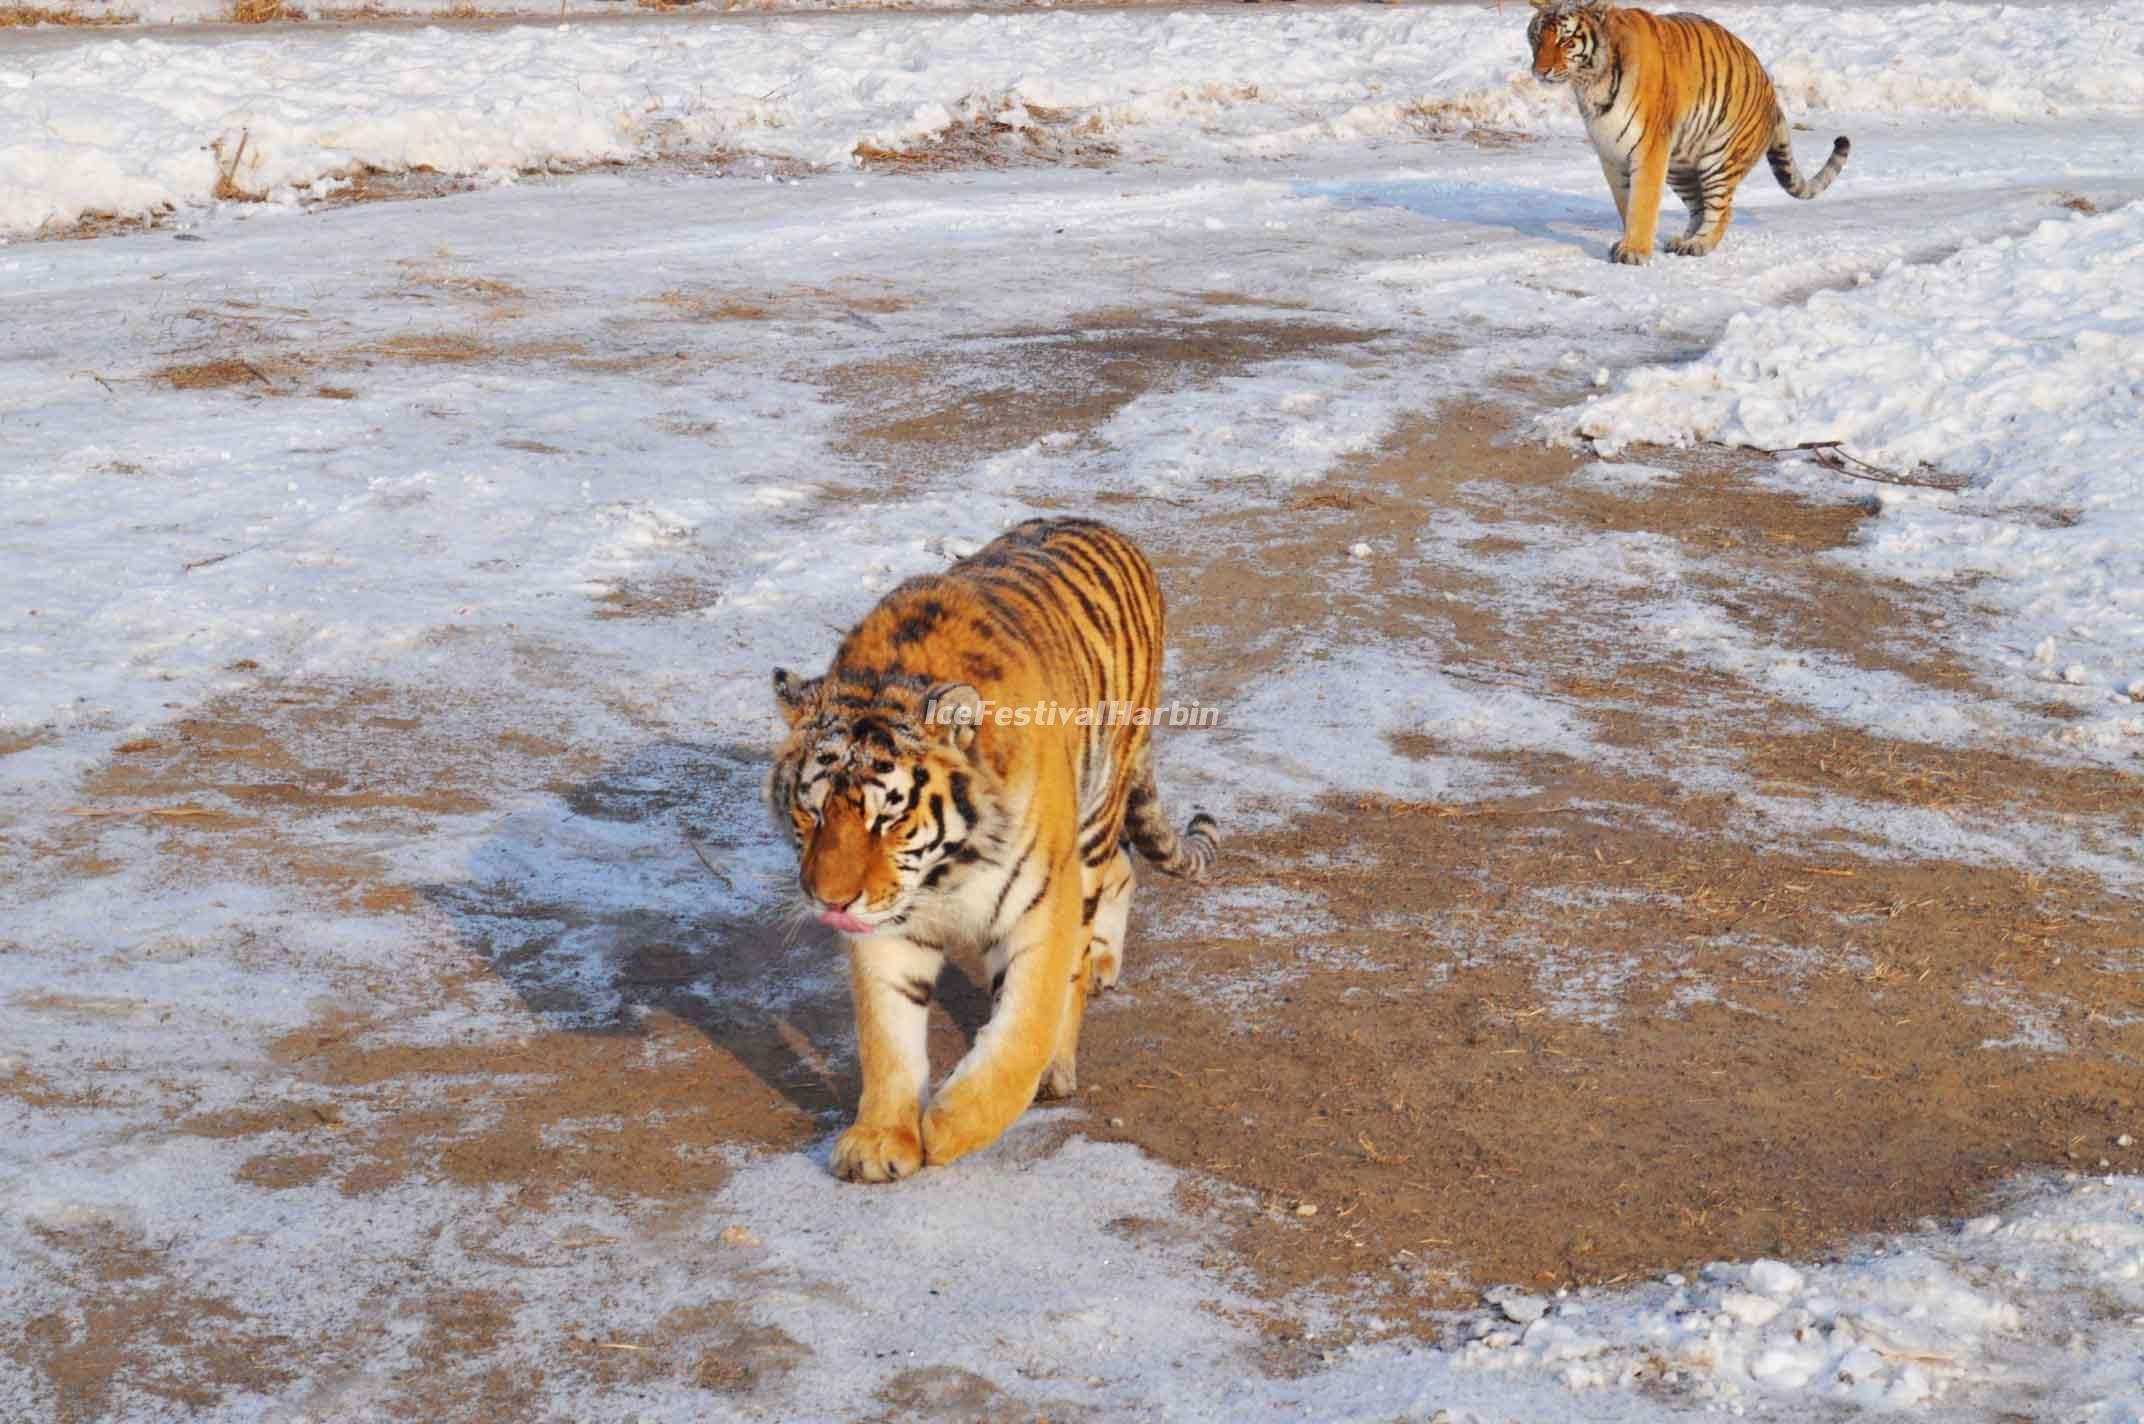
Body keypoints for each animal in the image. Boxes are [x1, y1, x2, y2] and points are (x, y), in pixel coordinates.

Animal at [766, 517, 1219, 1183]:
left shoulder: (1040, 906)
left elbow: (1021, 1029)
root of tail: (1105, 526)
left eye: (887, 820)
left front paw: (952, 1127)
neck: (943, 872)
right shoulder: (887, 926)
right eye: (812, 811)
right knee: (1126, 868)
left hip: (1094, 819)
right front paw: (878, 1142)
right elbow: (887, 1034)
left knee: (1096, 908)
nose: (829, 902)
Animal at [1526, 0, 1850, 264]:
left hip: (1719, 158)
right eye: (1537, 38)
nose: (1539, 71)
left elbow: (1642, 203)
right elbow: (1625, 203)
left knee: (1722, 209)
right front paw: (1628, 242)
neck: (1591, 82)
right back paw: (1683, 240)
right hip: (1680, 166)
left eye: (1566, 41)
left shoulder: (1649, 149)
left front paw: (1634, 251)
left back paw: (1699, 245)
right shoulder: (1610, 154)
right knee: (1699, 207)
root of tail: (1772, 97)